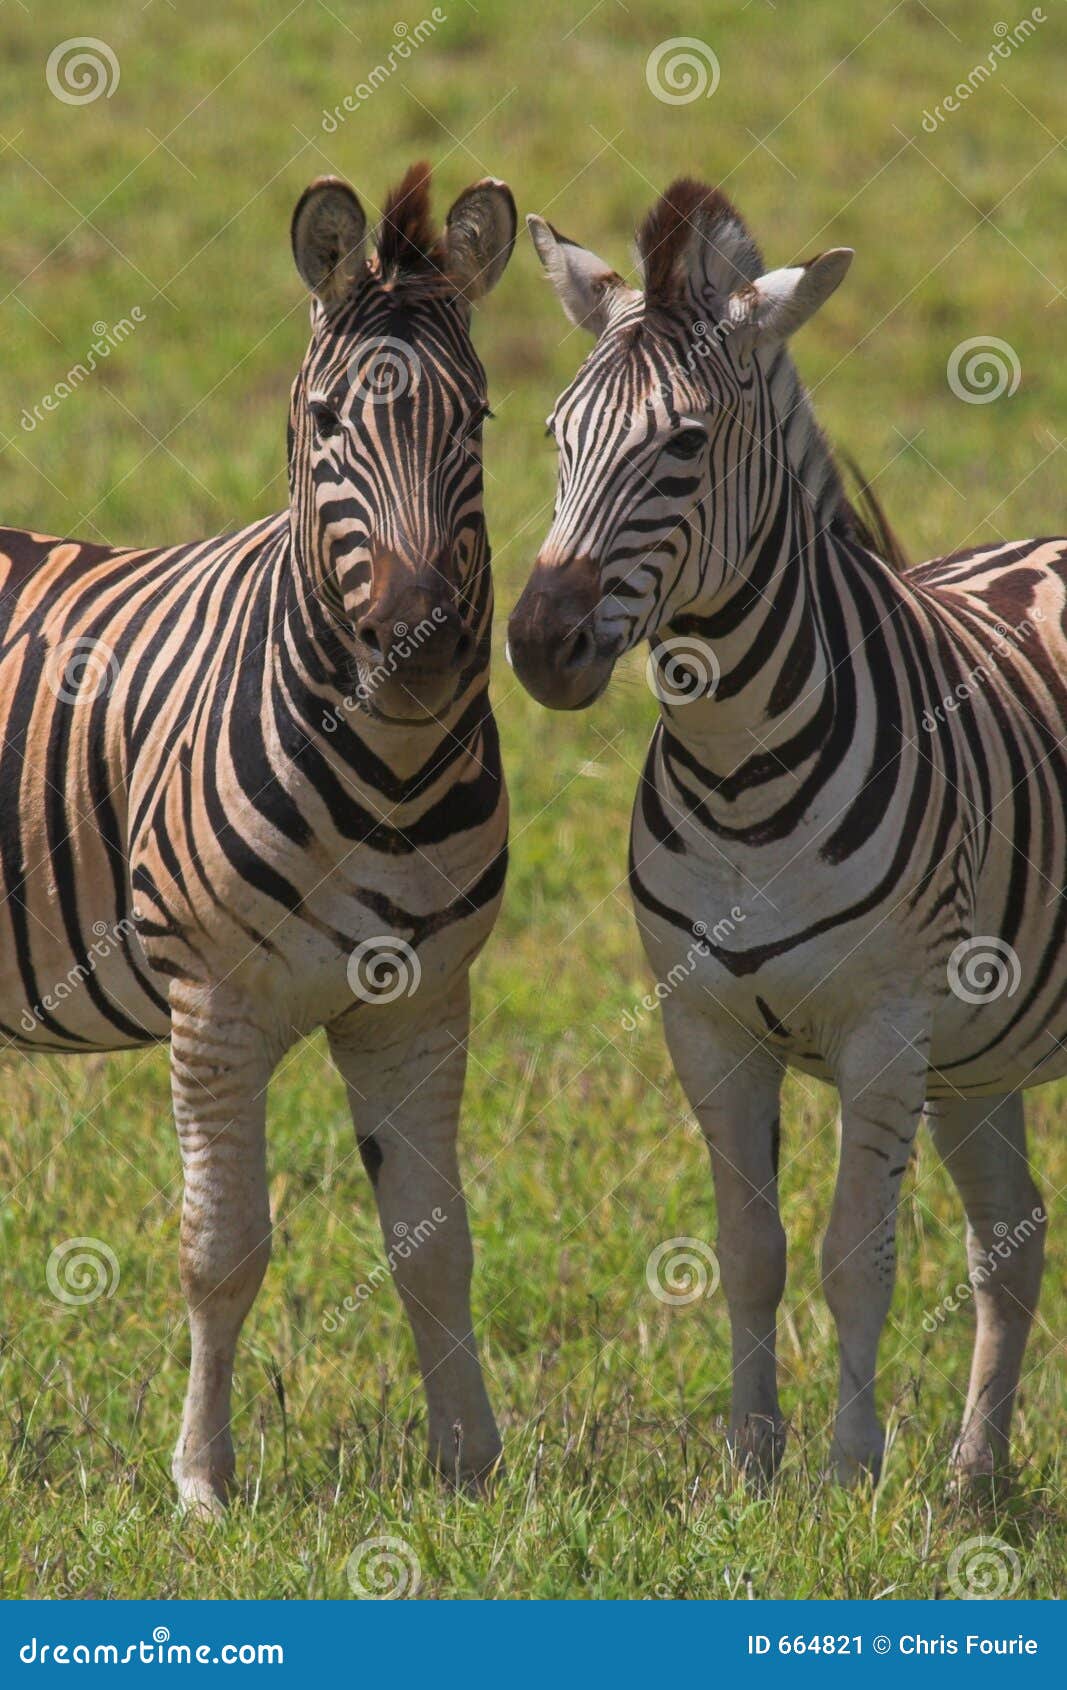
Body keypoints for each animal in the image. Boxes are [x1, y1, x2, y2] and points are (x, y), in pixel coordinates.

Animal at [0, 161, 516, 1513]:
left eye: (478, 422)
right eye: (328, 423)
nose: (417, 644)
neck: (391, 775)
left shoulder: (418, 1005)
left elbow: (435, 1244)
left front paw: (470, 1466)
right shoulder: (215, 1009)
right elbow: (220, 1249)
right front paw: (202, 1482)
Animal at [509, 177, 1059, 1486]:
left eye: (684, 444)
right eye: (554, 434)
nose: (540, 644)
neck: (740, 776)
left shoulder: (883, 1029)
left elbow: (852, 1252)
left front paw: (849, 1470)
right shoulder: (706, 1027)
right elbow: (747, 1250)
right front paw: (750, 1464)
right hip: (979, 1053)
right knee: (1009, 1242)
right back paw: (970, 1481)